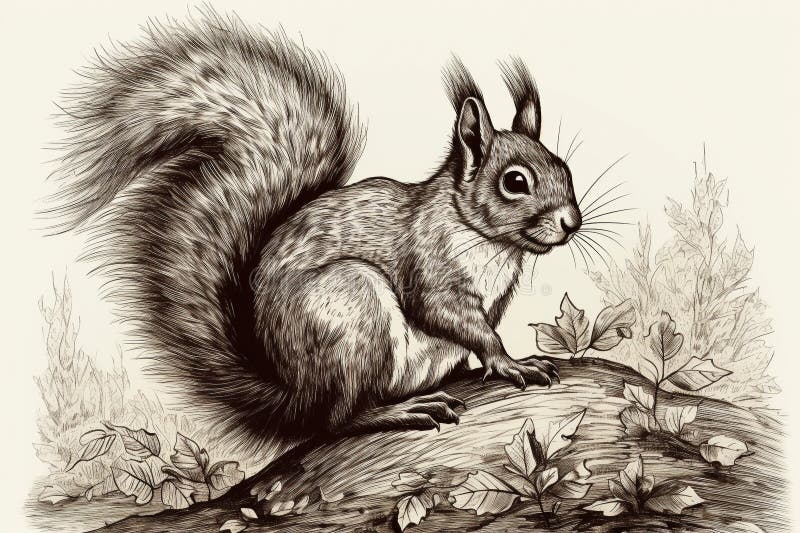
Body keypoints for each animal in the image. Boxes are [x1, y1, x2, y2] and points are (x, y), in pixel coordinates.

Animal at [51, 12, 582, 447]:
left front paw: (491, 361)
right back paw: (399, 411)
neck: (485, 240)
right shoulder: (430, 268)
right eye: (515, 182)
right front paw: (510, 361)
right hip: (353, 312)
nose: (571, 223)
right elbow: (449, 316)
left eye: (564, 168)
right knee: (336, 420)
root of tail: (295, 390)